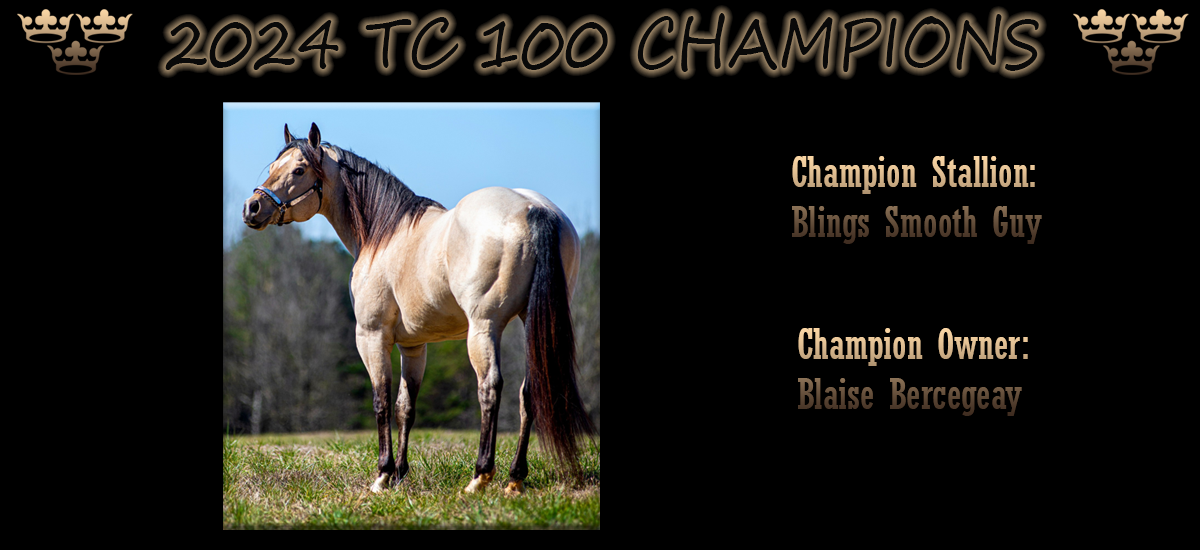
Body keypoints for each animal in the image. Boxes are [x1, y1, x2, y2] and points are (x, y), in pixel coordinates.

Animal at [242, 123, 594, 495]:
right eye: (272, 167)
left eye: (299, 170)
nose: (252, 207)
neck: (383, 235)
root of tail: (532, 208)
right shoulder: (414, 346)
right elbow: (405, 407)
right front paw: (399, 473)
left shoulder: (371, 336)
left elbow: (381, 401)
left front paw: (382, 475)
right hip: (531, 323)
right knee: (528, 393)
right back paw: (515, 479)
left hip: (484, 326)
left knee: (490, 388)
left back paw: (479, 477)